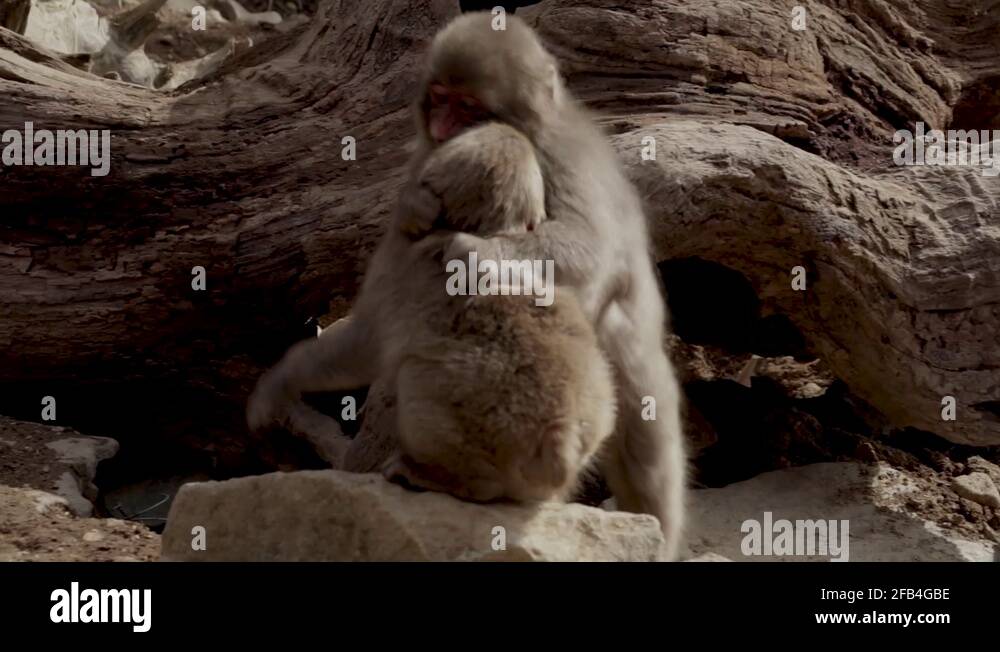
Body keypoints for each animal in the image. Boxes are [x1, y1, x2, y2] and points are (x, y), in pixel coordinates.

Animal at [249, 120, 617, 504]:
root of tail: (558, 443)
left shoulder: (397, 258)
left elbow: (363, 345)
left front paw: (276, 387)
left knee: (415, 375)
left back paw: (438, 477)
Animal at [397, 13, 688, 558]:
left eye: (469, 107)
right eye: (441, 97)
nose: (444, 128)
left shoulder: (560, 156)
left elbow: (586, 245)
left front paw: (473, 251)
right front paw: (412, 205)